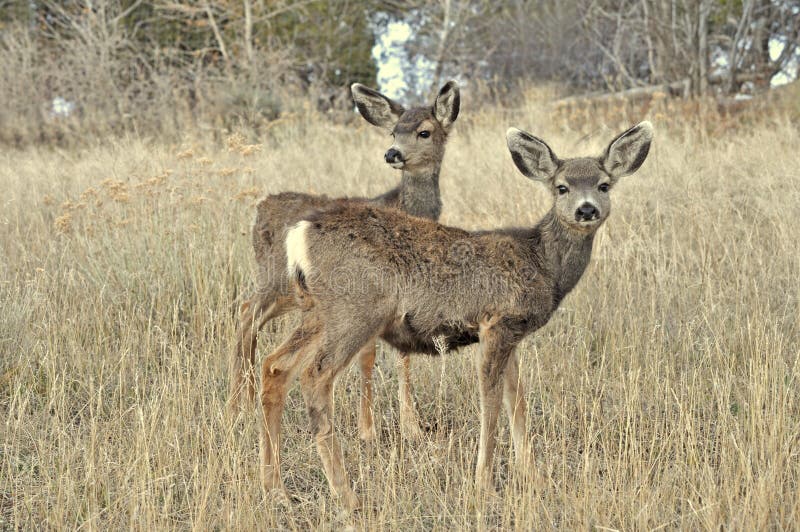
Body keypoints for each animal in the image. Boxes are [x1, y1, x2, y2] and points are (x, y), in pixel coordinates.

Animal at [229, 81, 461, 443]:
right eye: (394, 130)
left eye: (424, 131)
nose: (392, 153)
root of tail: (260, 208)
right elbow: (368, 356)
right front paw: (368, 430)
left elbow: (404, 355)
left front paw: (412, 427)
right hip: (275, 278)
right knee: (246, 313)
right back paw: (236, 408)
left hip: (294, 294)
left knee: (248, 315)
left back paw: (245, 403)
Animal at [256, 122, 654, 509]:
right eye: (562, 187)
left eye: (603, 184)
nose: (586, 209)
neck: (542, 263)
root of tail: (300, 234)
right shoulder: (497, 322)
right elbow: (491, 407)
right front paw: (484, 485)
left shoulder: (512, 334)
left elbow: (517, 403)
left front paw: (534, 477)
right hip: (356, 310)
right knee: (314, 377)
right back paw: (346, 495)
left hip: (318, 312)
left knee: (276, 366)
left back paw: (276, 489)